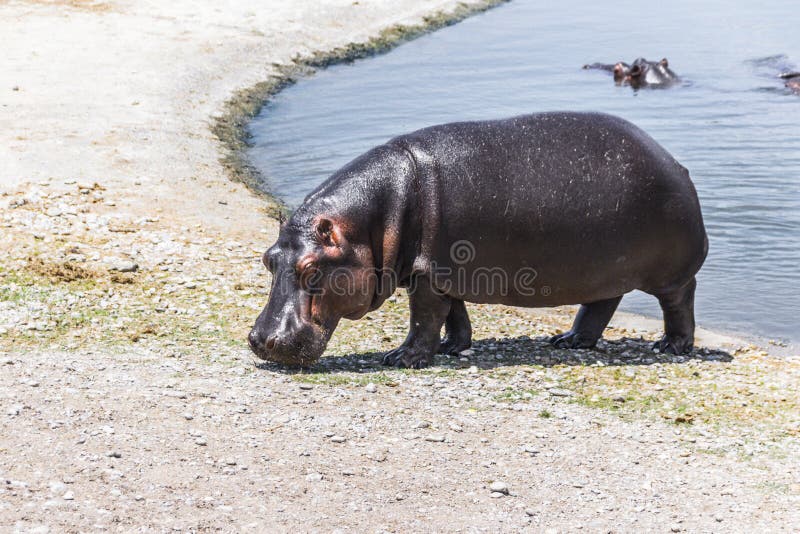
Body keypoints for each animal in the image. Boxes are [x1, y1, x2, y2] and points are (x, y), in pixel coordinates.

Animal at [248, 112, 708, 369]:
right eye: (269, 259)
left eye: (312, 269)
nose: (262, 341)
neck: (371, 222)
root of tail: (675, 163)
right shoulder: (439, 269)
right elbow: (453, 312)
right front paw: (454, 347)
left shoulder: (426, 274)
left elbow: (425, 316)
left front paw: (402, 359)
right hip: (605, 269)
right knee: (601, 303)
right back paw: (570, 340)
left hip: (670, 273)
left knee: (679, 300)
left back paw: (671, 346)